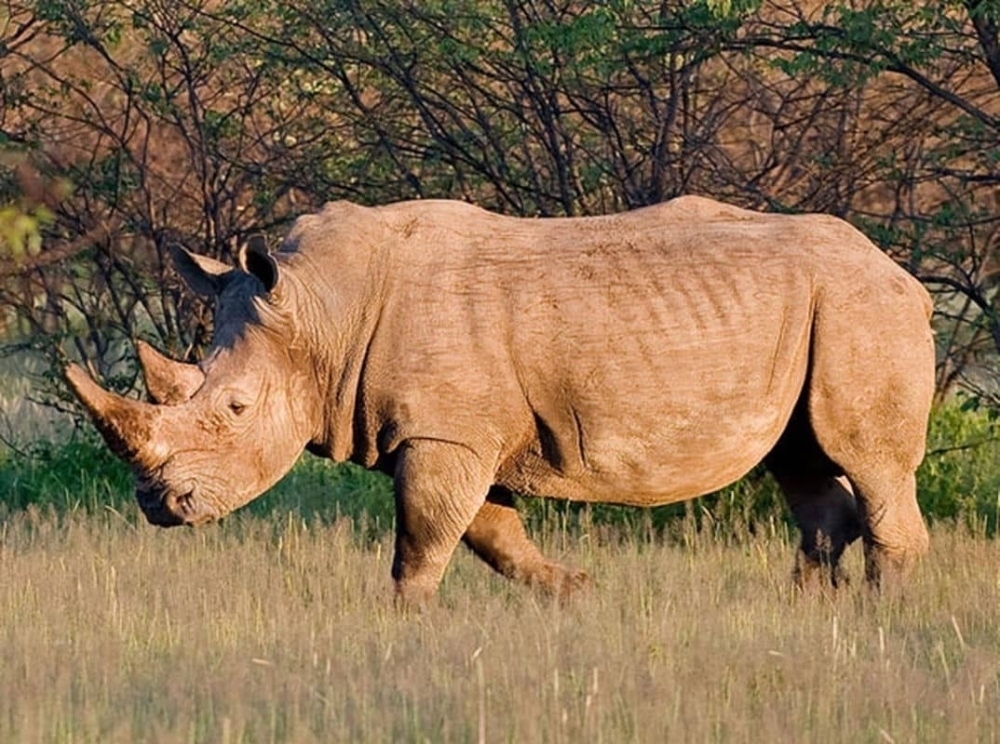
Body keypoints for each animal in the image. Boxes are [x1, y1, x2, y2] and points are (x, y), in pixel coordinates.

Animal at [66, 196, 935, 604]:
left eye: (237, 411)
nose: (158, 506)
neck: (319, 312)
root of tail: (902, 273)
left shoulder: (444, 430)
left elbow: (424, 539)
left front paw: (404, 621)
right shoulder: (454, 430)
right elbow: (489, 533)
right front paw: (577, 593)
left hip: (861, 309)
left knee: (867, 460)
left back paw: (883, 614)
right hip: (821, 314)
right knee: (802, 463)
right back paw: (809, 609)